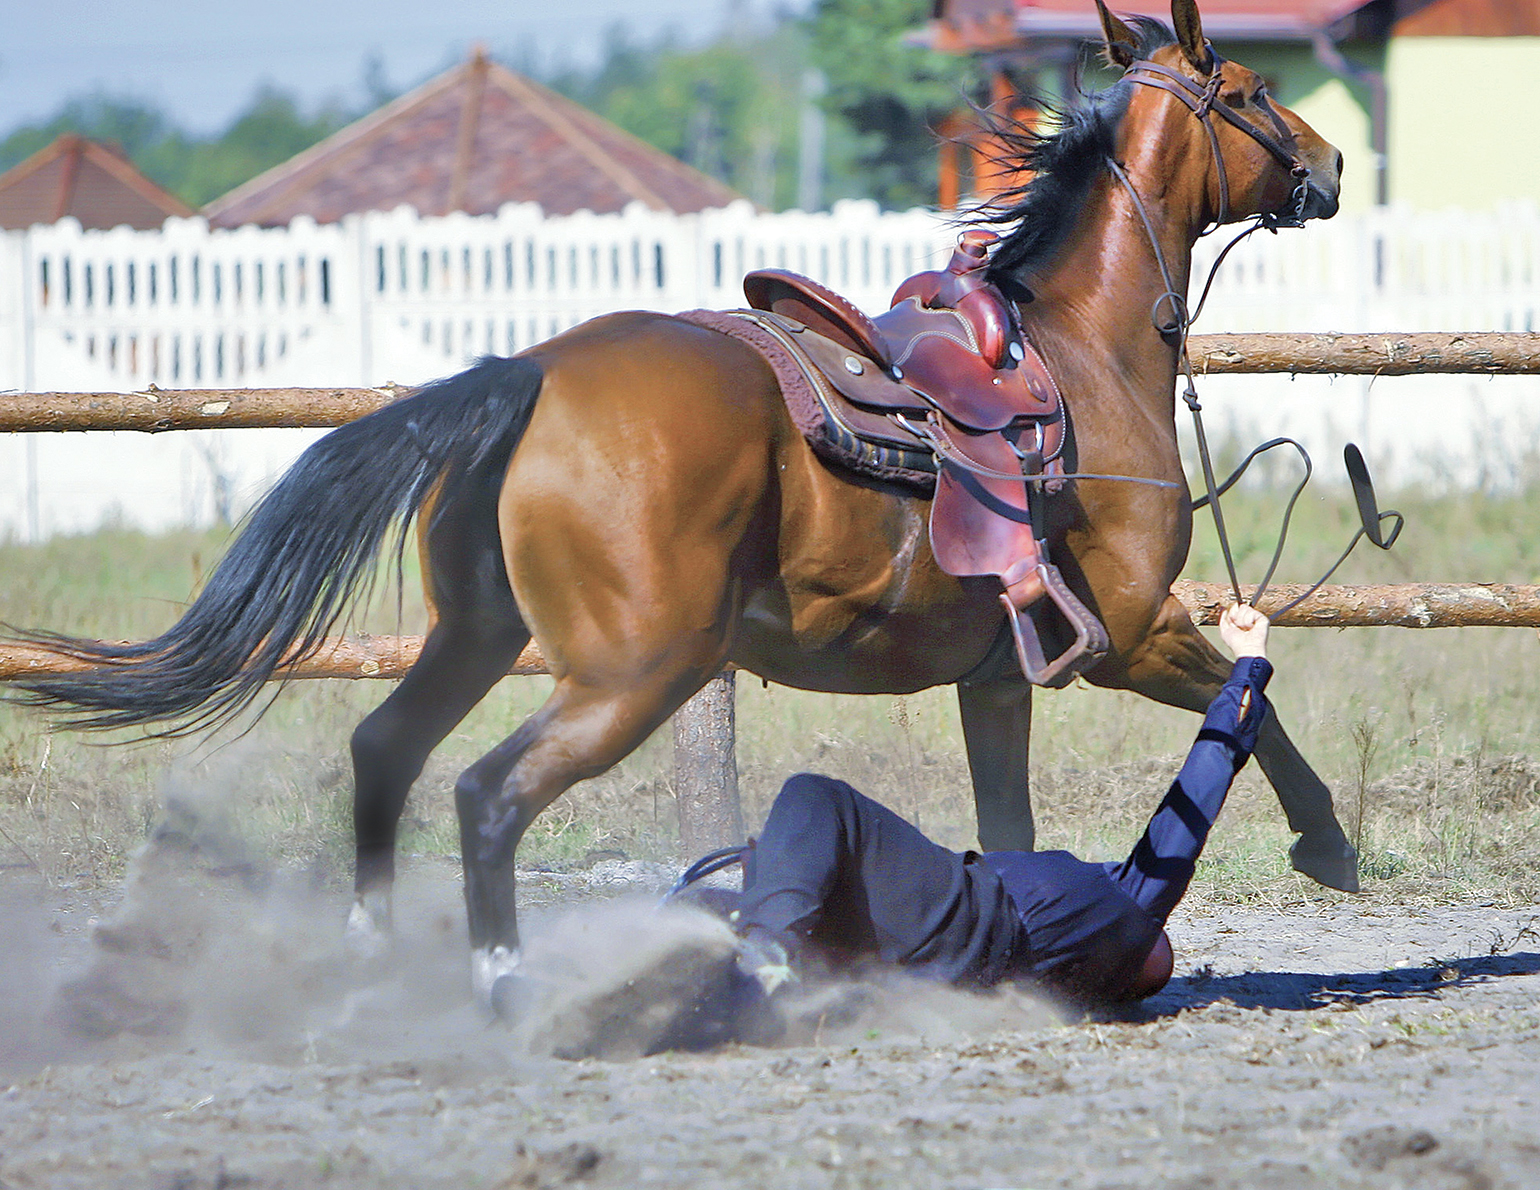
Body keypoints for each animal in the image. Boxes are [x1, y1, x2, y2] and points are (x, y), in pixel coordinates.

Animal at [9, 0, 1353, 1005]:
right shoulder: (1127, 630)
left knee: (385, 749)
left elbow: (1009, 816)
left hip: (480, 635)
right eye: (1247, 89)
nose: (1334, 162)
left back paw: (374, 961)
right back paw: (500, 981)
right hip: (631, 669)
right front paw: (1325, 841)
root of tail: (531, 371)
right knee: (487, 793)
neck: (1072, 349)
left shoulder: (997, 680)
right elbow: (1255, 704)